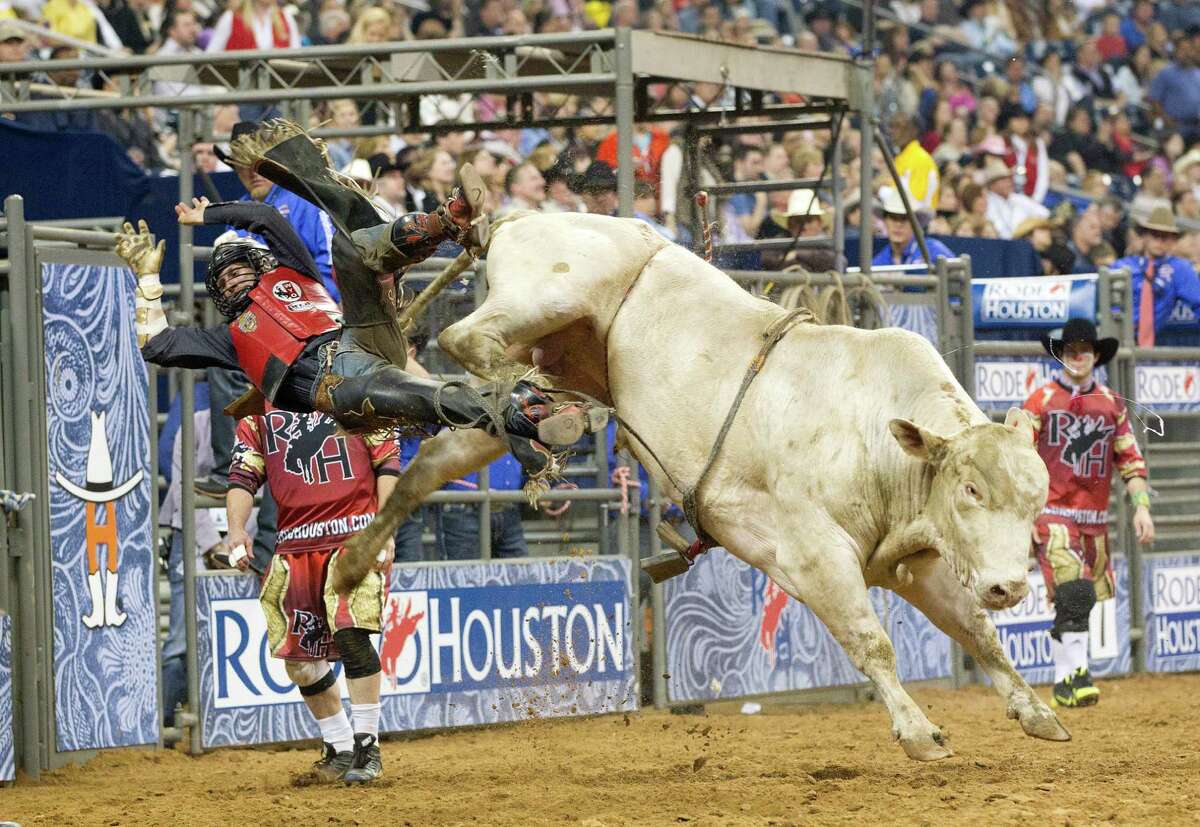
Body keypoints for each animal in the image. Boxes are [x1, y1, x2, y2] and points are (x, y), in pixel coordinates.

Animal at [337, 211, 1070, 760]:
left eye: (1035, 501)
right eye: (970, 492)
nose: (1011, 586)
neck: (872, 433)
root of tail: (522, 215)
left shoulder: (911, 562)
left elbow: (978, 631)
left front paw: (1036, 711)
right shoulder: (814, 554)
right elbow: (871, 640)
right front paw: (919, 730)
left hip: (543, 364)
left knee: (435, 458)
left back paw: (353, 563)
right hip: (549, 295)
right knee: (465, 336)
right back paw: (541, 403)